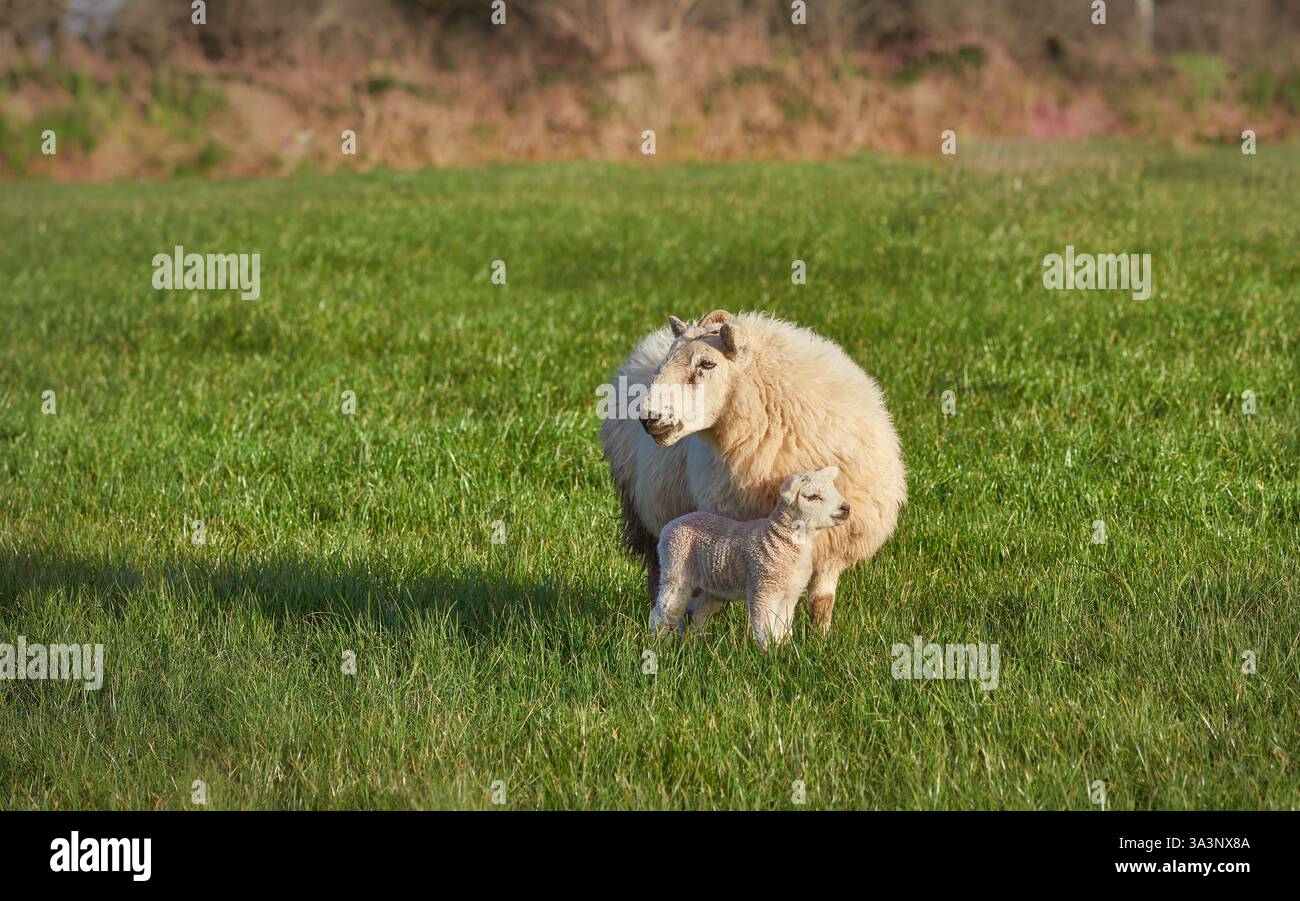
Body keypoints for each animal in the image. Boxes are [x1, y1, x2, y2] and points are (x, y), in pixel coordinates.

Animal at [649, 467, 850, 649]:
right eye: (813, 497)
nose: (846, 508)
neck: (779, 538)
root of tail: (670, 525)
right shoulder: (763, 588)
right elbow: (765, 626)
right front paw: (769, 653)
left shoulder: (789, 593)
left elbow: (783, 626)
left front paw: (785, 649)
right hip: (675, 569)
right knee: (664, 612)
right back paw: (660, 644)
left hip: (711, 585)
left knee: (694, 613)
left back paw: (692, 642)